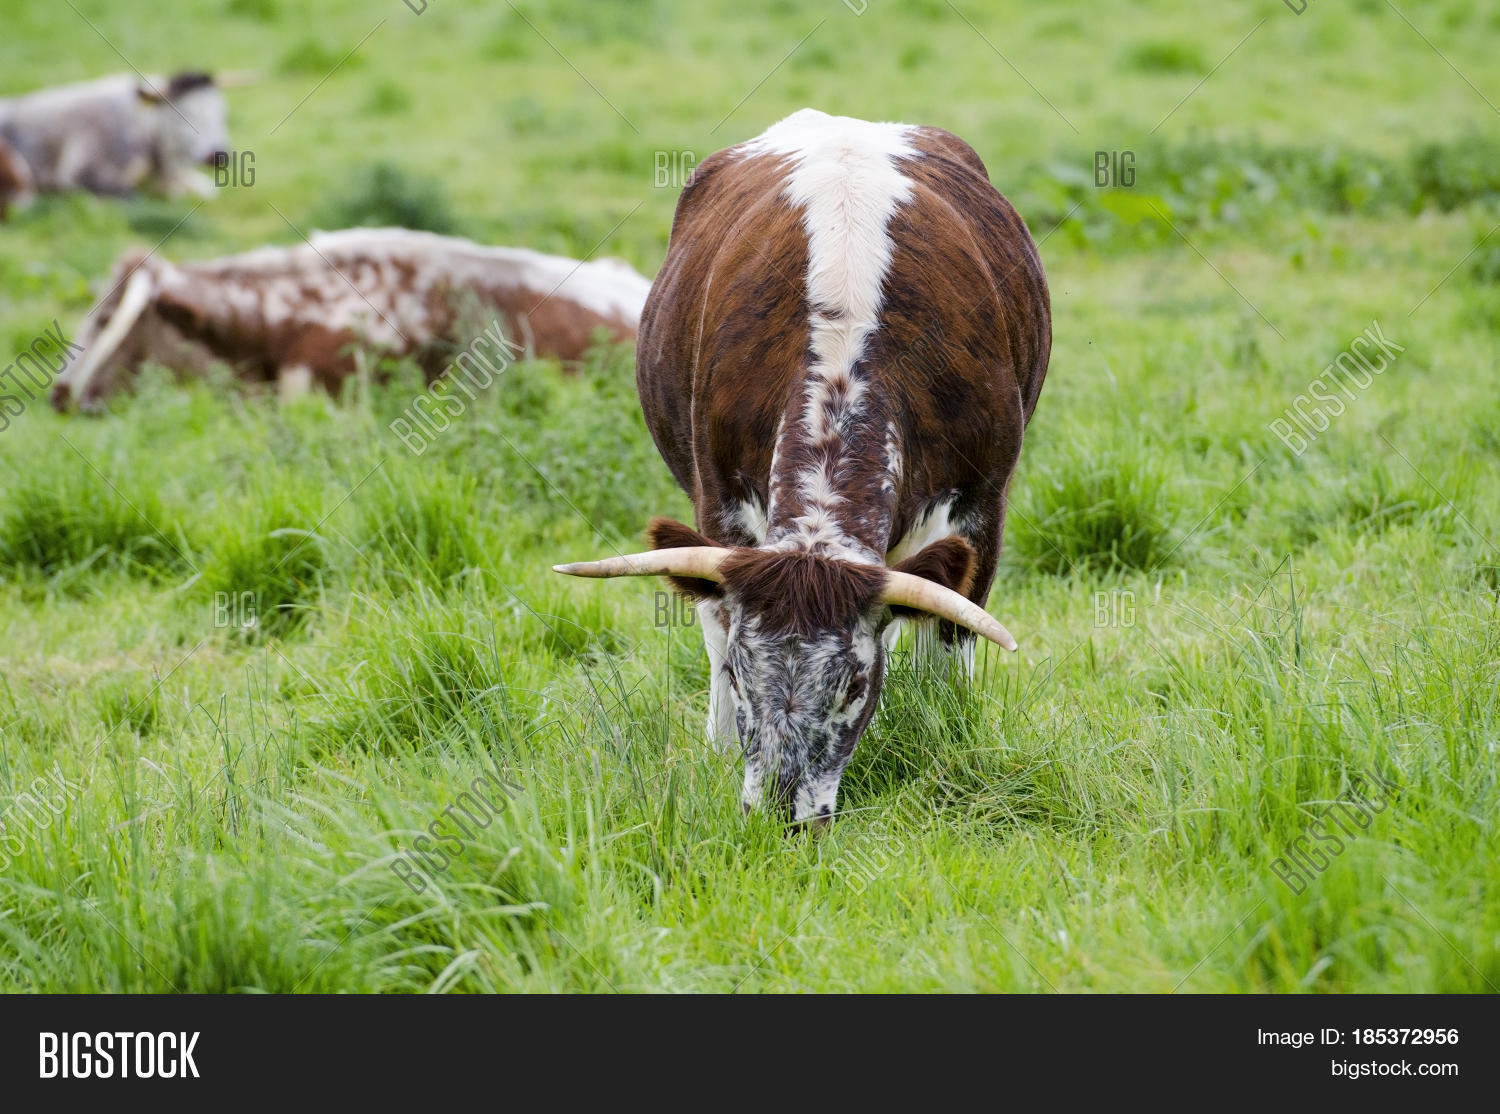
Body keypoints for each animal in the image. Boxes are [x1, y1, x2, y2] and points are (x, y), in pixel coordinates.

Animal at [554, 109, 1051, 827]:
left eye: (852, 684)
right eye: (742, 675)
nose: (780, 815)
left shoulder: (984, 502)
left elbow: (949, 633)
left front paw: (944, 737)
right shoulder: (719, 502)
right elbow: (718, 621)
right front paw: (724, 750)